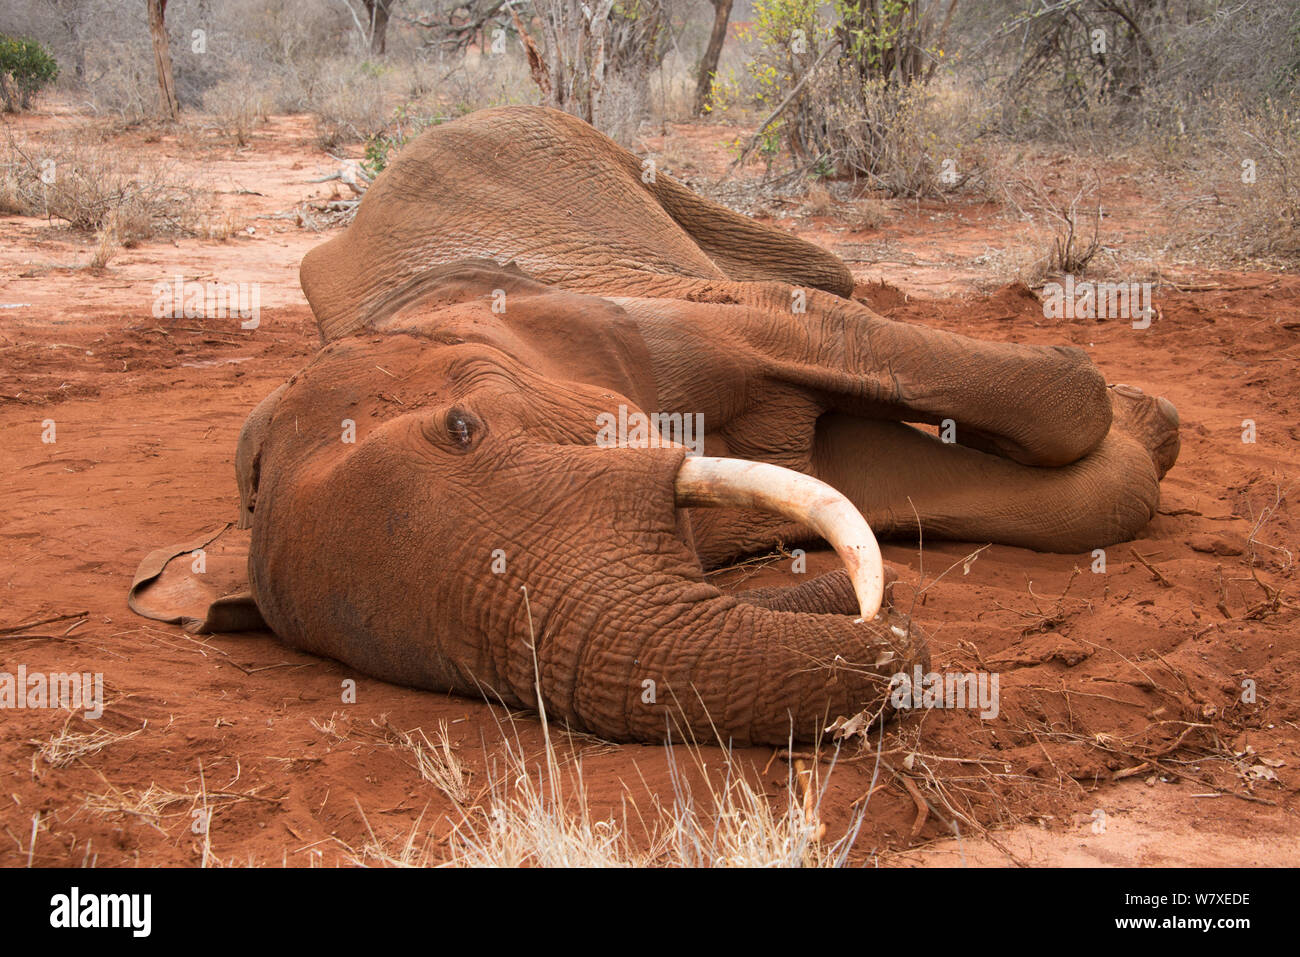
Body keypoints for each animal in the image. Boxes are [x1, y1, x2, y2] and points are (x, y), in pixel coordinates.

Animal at [130, 106, 1180, 747]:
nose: (857, 606)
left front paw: (1137, 416)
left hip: (618, 161)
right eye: (421, 670)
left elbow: (825, 329)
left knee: (824, 275)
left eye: (465, 428)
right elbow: (912, 484)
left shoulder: (624, 321)